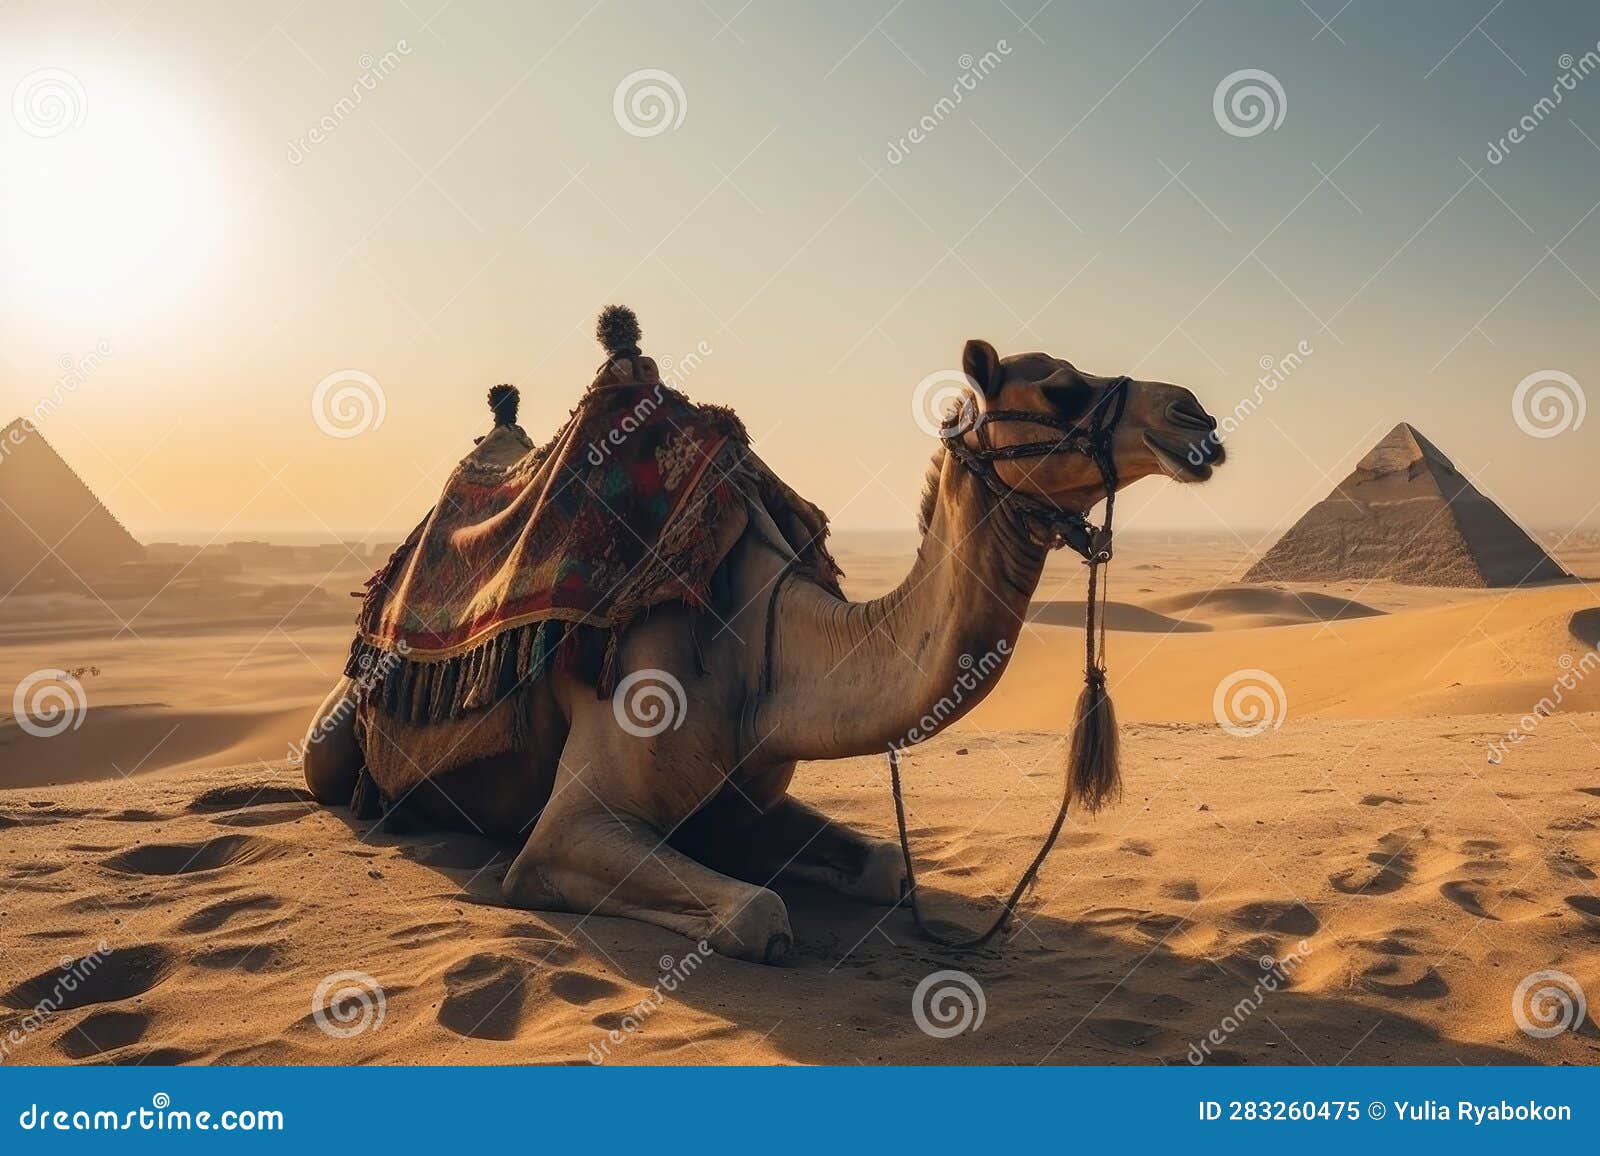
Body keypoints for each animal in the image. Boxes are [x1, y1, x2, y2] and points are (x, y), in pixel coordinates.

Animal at [302, 337, 1224, 963]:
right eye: (1063, 389)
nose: (1197, 417)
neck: (764, 652)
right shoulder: (568, 828)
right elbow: (759, 915)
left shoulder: (745, 800)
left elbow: (885, 867)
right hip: (331, 739)